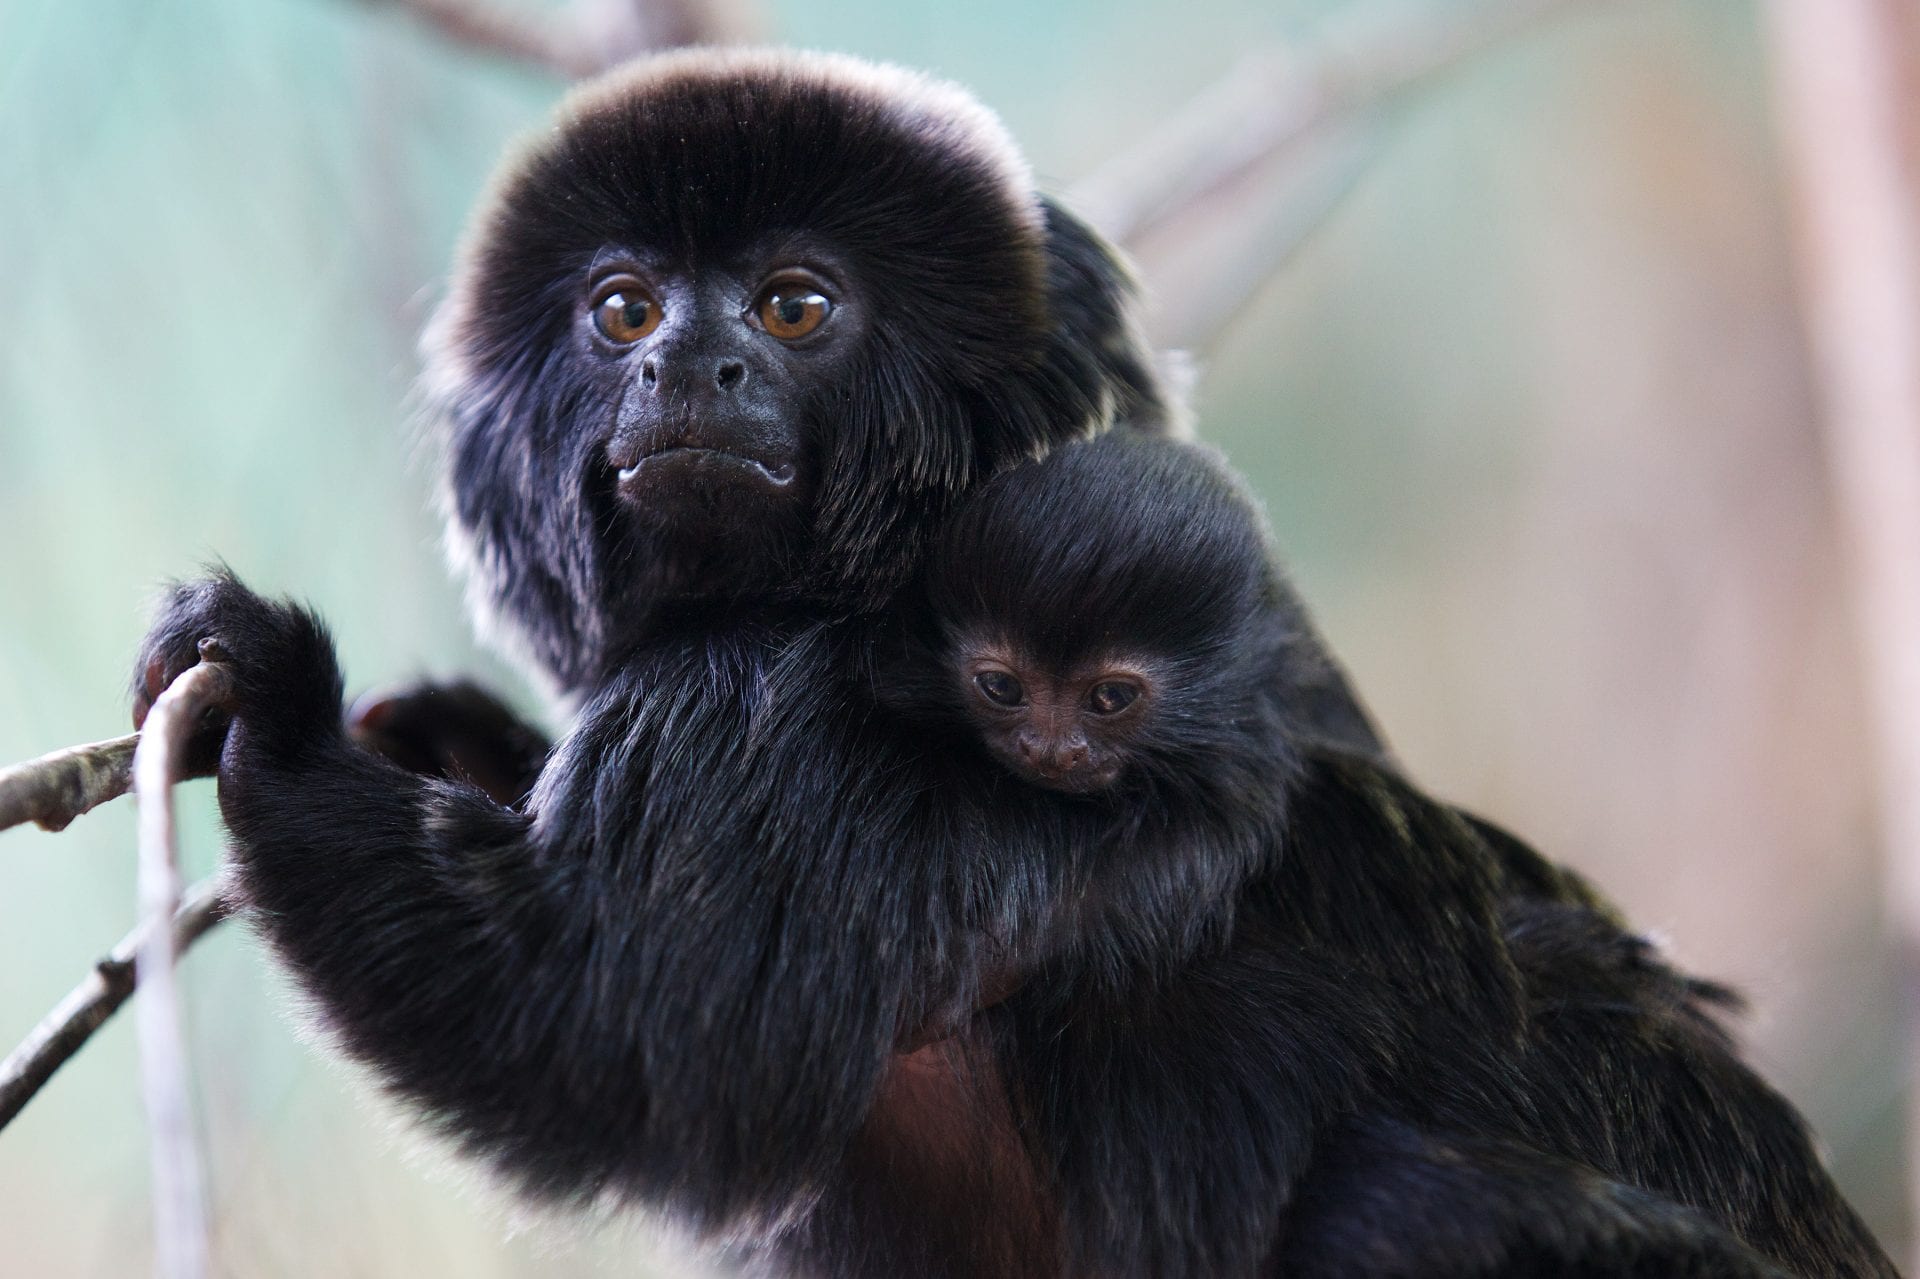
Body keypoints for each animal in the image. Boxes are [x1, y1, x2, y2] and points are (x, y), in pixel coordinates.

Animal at [130, 48, 1893, 1279]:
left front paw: (276, 703)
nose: (691, 365)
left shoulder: (796, 732)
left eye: (794, 305)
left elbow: (608, 1032)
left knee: (1395, 1205)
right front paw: (451, 730)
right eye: (621, 310)